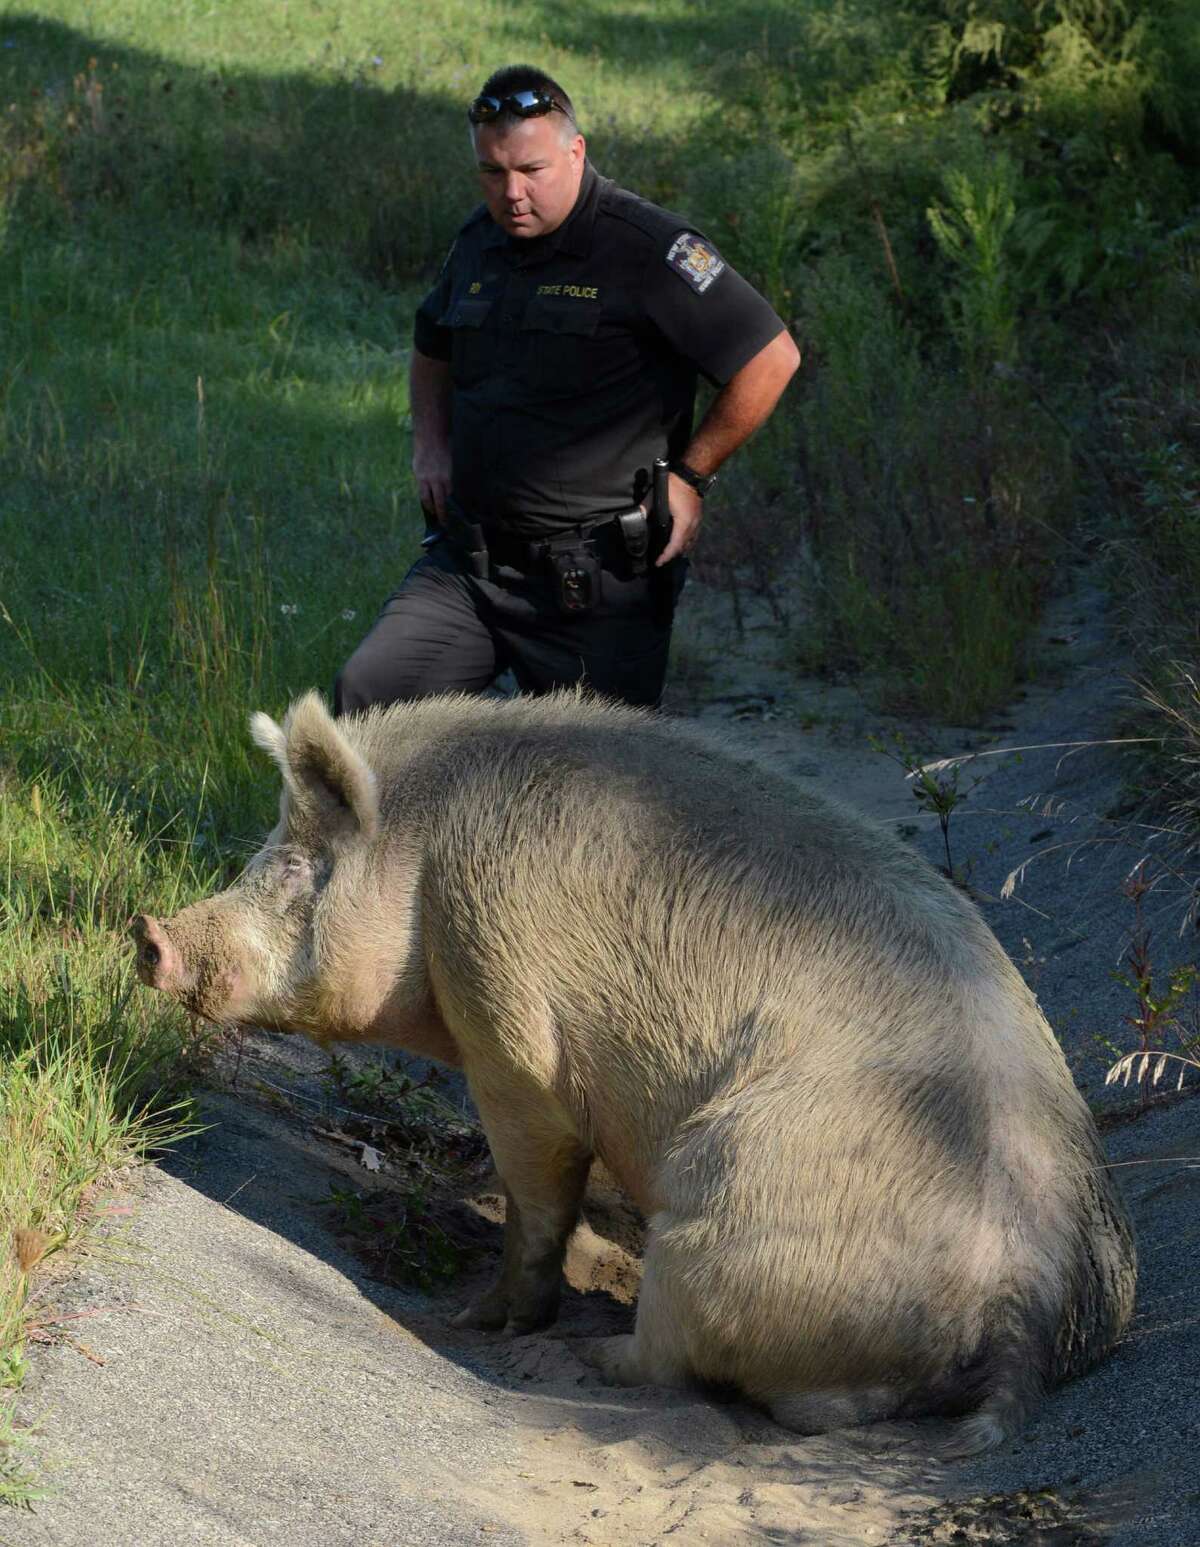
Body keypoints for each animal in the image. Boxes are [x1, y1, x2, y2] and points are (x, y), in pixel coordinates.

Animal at [131, 690, 1135, 1453]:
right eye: (262, 855)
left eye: (298, 866)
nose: (149, 935)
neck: (423, 852)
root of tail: (1027, 1306)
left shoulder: (508, 1023)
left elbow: (536, 1192)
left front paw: (482, 1320)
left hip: (724, 1215)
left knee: (680, 1360)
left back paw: (592, 1357)